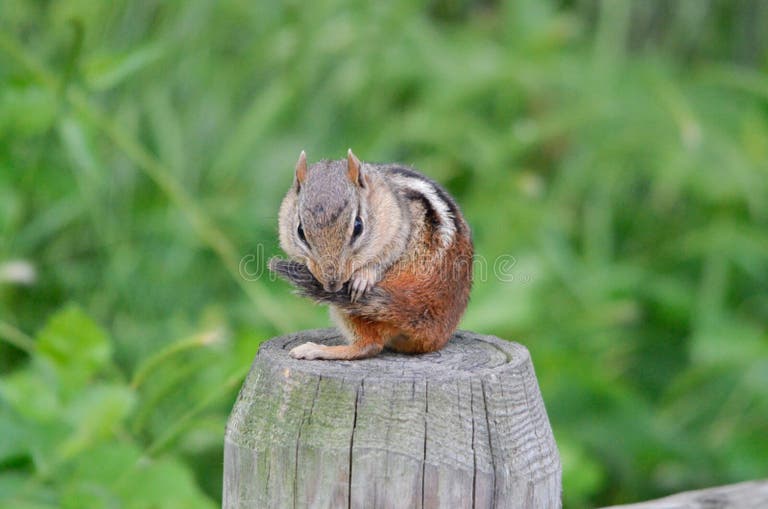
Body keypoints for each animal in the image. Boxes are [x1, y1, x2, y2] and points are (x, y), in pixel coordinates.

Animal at [269, 149, 473, 360]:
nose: (332, 285)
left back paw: (317, 350)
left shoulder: (399, 229)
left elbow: (385, 256)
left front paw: (364, 276)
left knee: (370, 345)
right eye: (300, 231)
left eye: (358, 226)